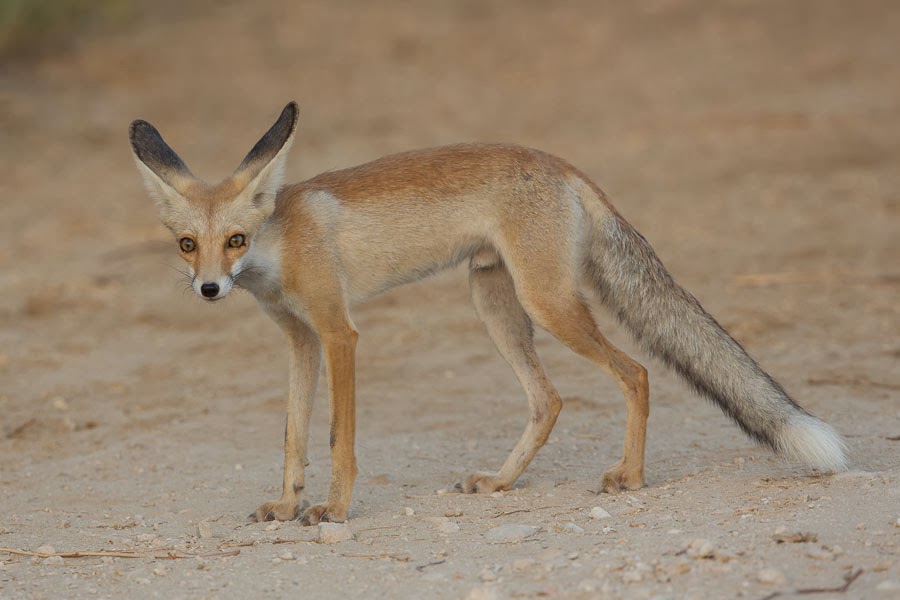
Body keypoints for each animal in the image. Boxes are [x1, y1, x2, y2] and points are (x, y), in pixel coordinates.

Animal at [128, 102, 847, 524]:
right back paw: (502, 482)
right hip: (494, 304)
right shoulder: (299, 342)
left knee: (636, 373)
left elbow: (337, 439)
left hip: (547, 305)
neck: (279, 244)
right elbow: (292, 436)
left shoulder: (339, 334)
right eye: (188, 244)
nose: (209, 288)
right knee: (549, 399)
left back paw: (632, 477)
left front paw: (334, 509)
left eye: (236, 240)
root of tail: (561, 163)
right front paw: (285, 504)